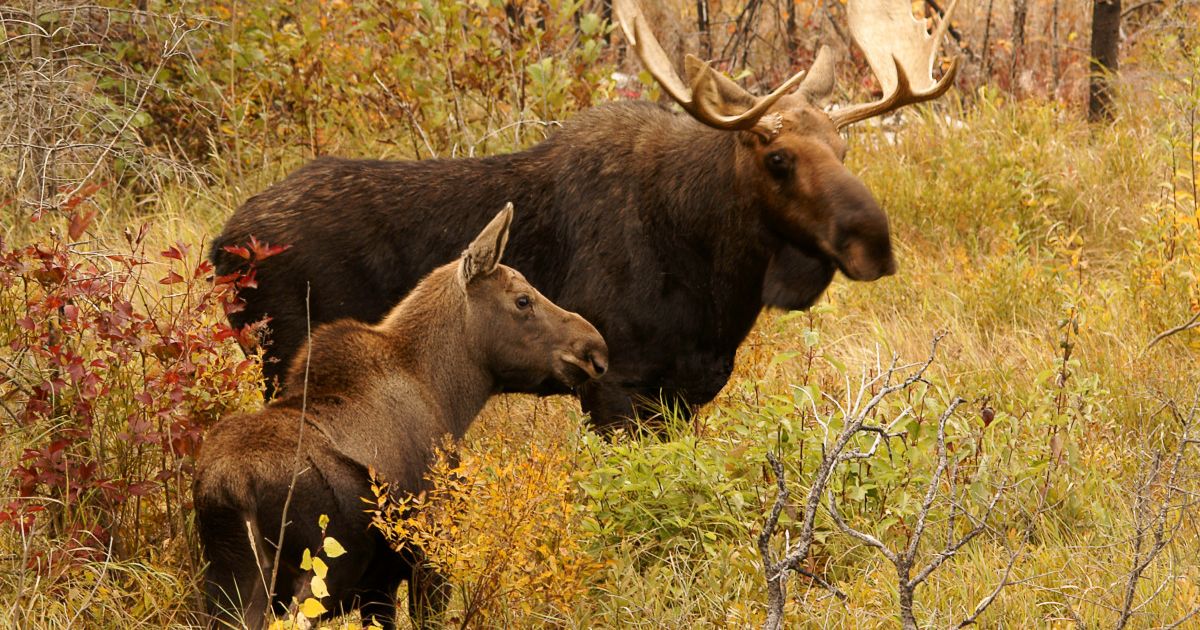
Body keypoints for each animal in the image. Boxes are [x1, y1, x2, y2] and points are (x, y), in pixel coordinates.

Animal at [193, 204, 608, 629]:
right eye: (523, 300)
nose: (594, 349)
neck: (448, 397)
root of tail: (229, 486)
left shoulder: (379, 586)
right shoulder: (432, 553)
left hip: (230, 583)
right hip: (318, 570)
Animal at [209, 0, 960, 432]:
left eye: (844, 146)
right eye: (777, 157)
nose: (873, 242)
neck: (718, 278)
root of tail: (220, 245)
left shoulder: (688, 389)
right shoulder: (617, 385)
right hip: (284, 357)